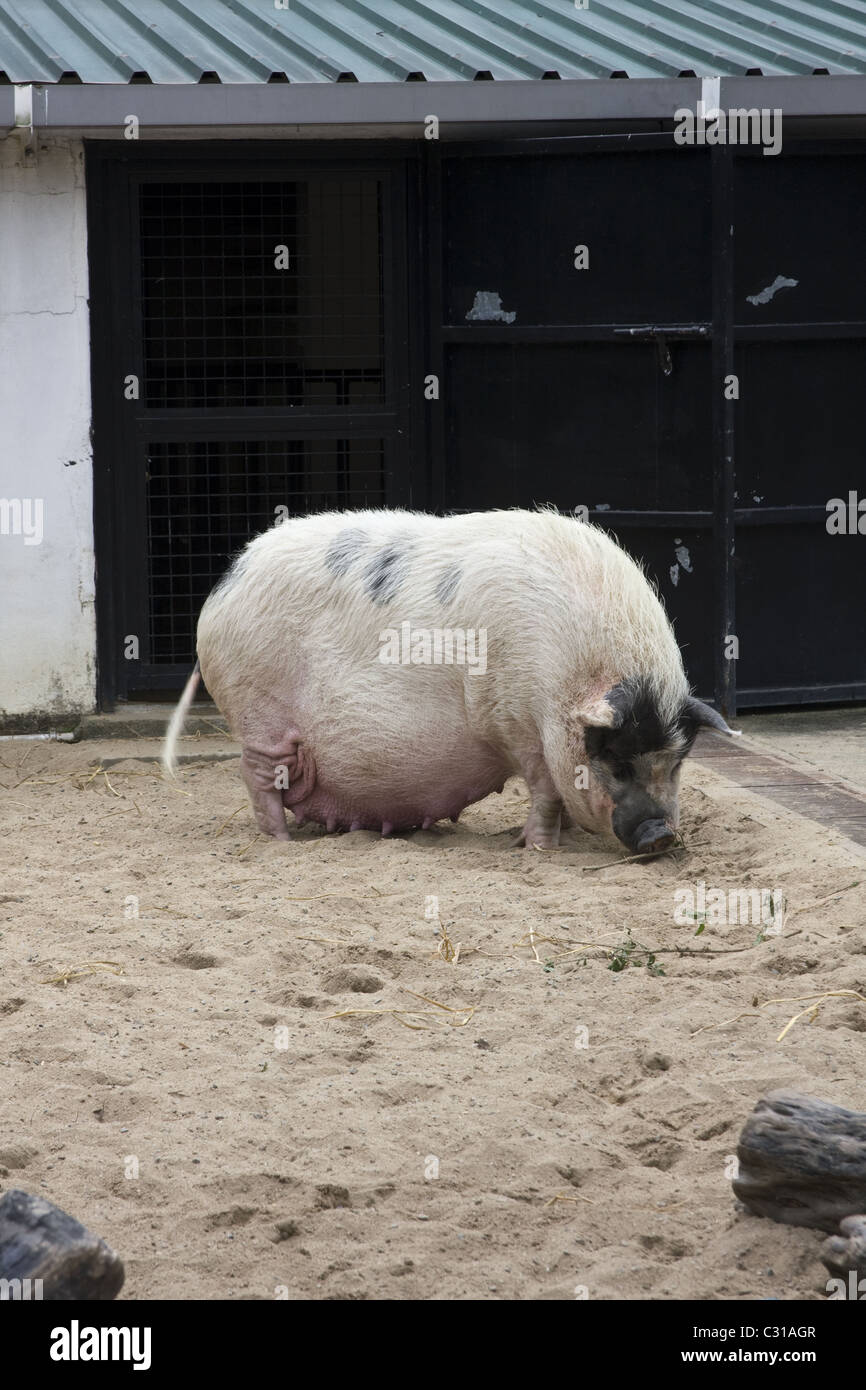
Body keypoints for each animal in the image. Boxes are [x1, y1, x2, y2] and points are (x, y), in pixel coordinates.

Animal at [163, 508, 738, 852]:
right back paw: (281, 843)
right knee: (258, 778)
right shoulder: (515, 722)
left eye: (677, 762)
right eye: (616, 763)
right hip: (258, 715)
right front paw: (538, 849)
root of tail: (226, 582)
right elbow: (545, 790)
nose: (661, 834)